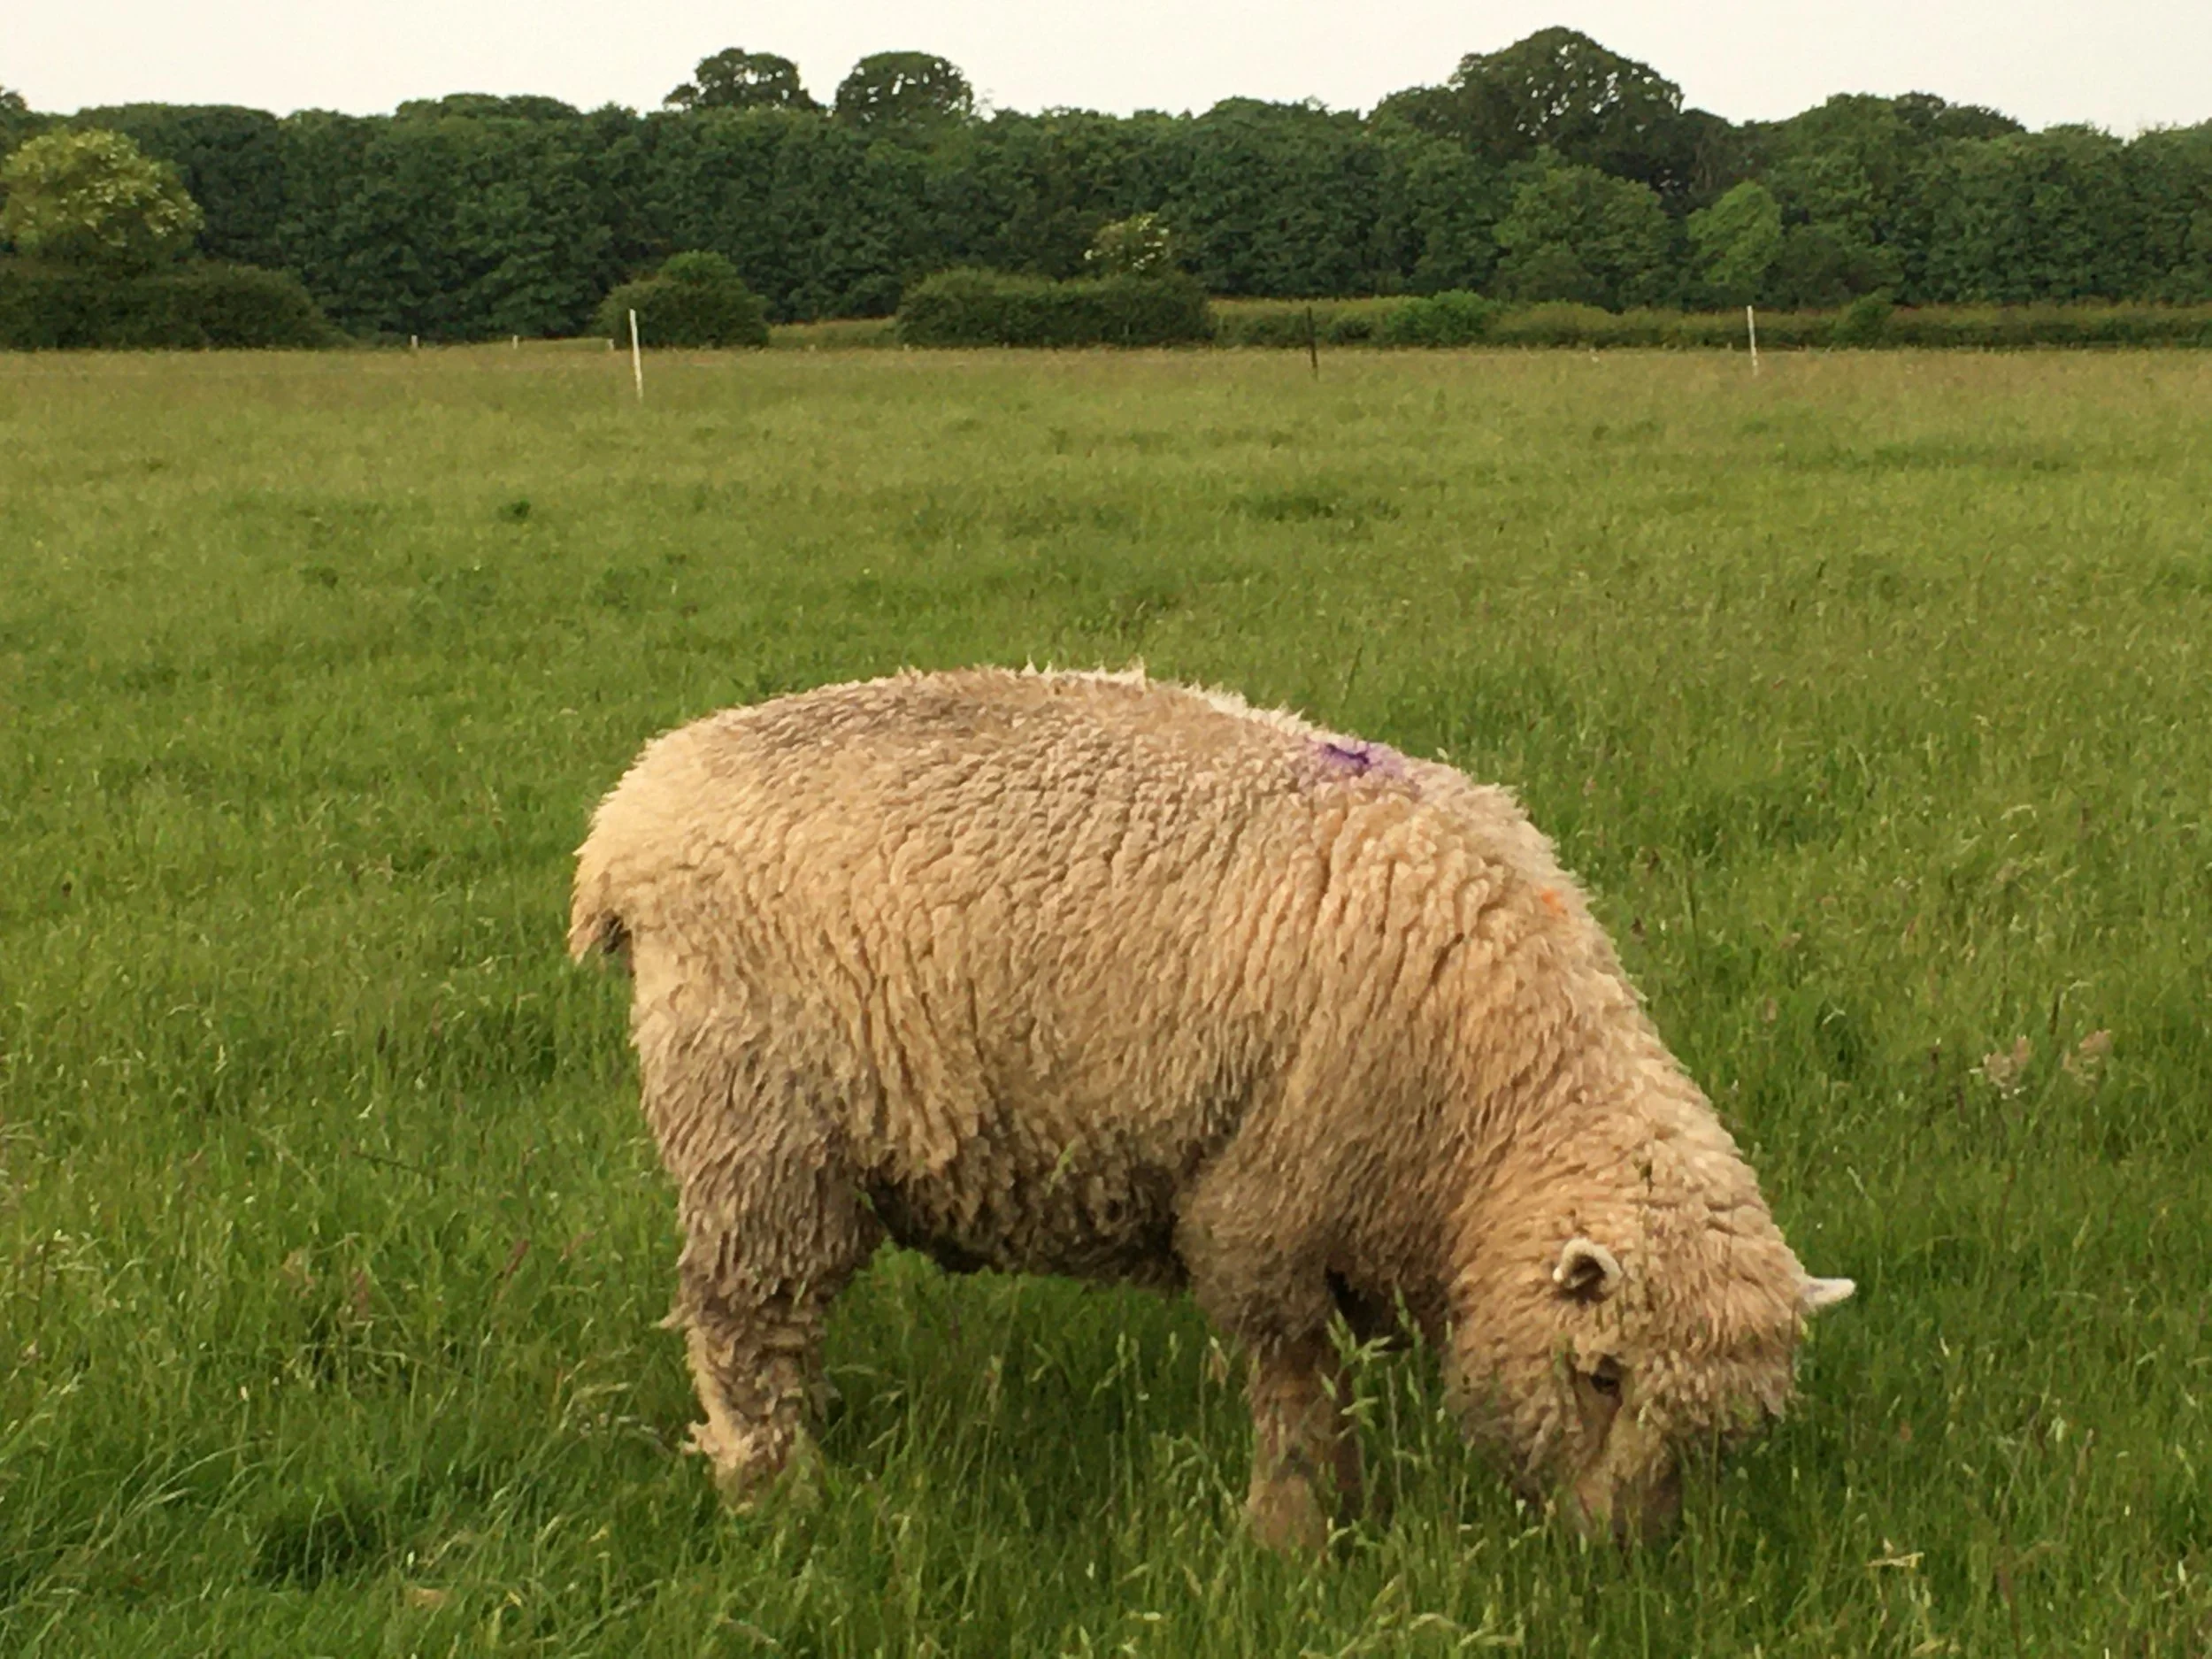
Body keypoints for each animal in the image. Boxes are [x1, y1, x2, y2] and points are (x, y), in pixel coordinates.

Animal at [569, 666, 1853, 1548]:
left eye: (1727, 1435)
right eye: (1601, 1375)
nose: (1615, 1556)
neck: (1491, 1114)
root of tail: (628, 821)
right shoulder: (1262, 1206)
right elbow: (1294, 1378)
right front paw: (1296, 1533)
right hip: (758, 1129)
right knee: (745, 1320)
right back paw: (774, 1490)